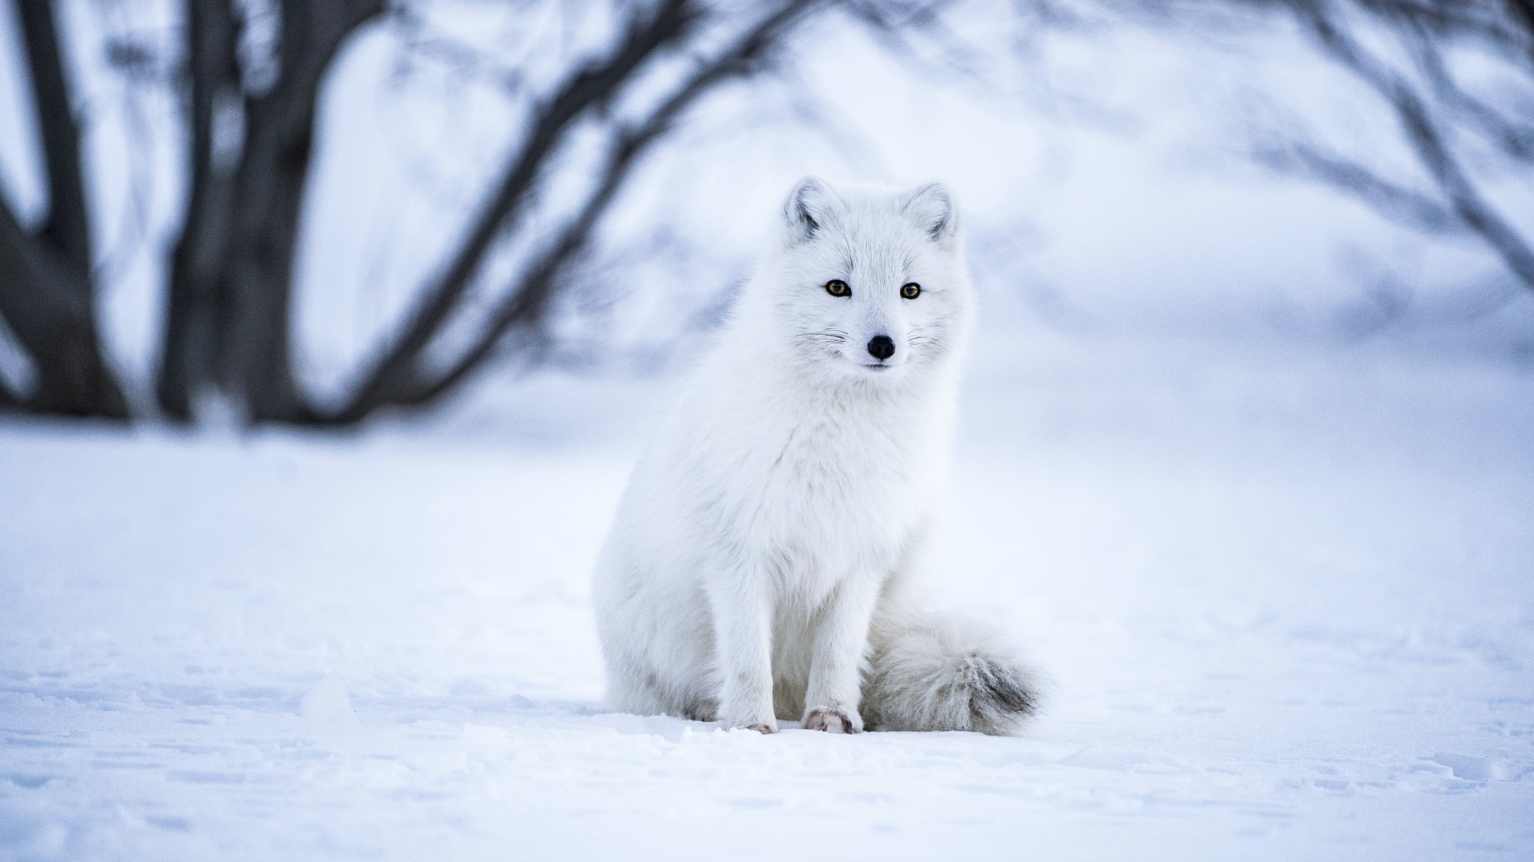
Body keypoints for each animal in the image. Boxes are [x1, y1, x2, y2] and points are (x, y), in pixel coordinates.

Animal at [591, 177, 1037, 734]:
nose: (883, 345)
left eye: (910, 290)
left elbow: (839, 651)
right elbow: (746, 656)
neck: (841, 432)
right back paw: (706, 710)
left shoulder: (861, 556)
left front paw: (833, 716)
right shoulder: (738, 552)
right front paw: (749, 725)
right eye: (837, 287)